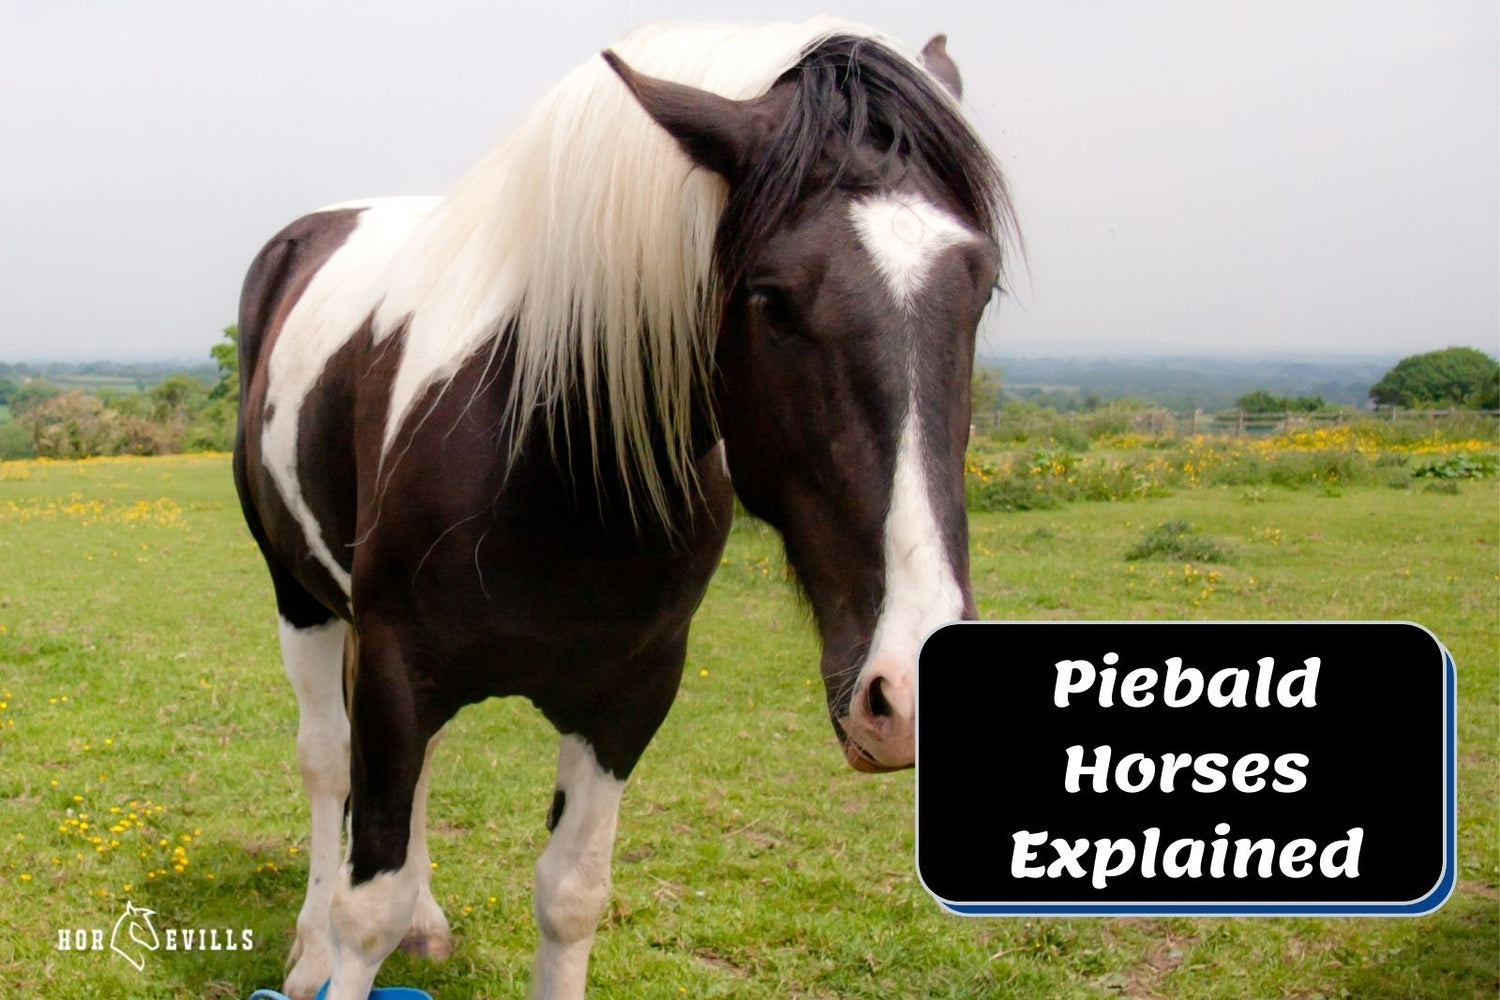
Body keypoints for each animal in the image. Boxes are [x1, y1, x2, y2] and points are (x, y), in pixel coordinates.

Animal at [233, 18, 1013, 1000]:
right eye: (771, 298)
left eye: (980, 288)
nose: (905, 689)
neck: (546, 462)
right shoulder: (395, 672)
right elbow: (364, 905)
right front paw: (340, 944)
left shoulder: (629, 694)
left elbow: (569, 896)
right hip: (298, 596)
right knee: (327, 764)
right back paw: (306, 953)